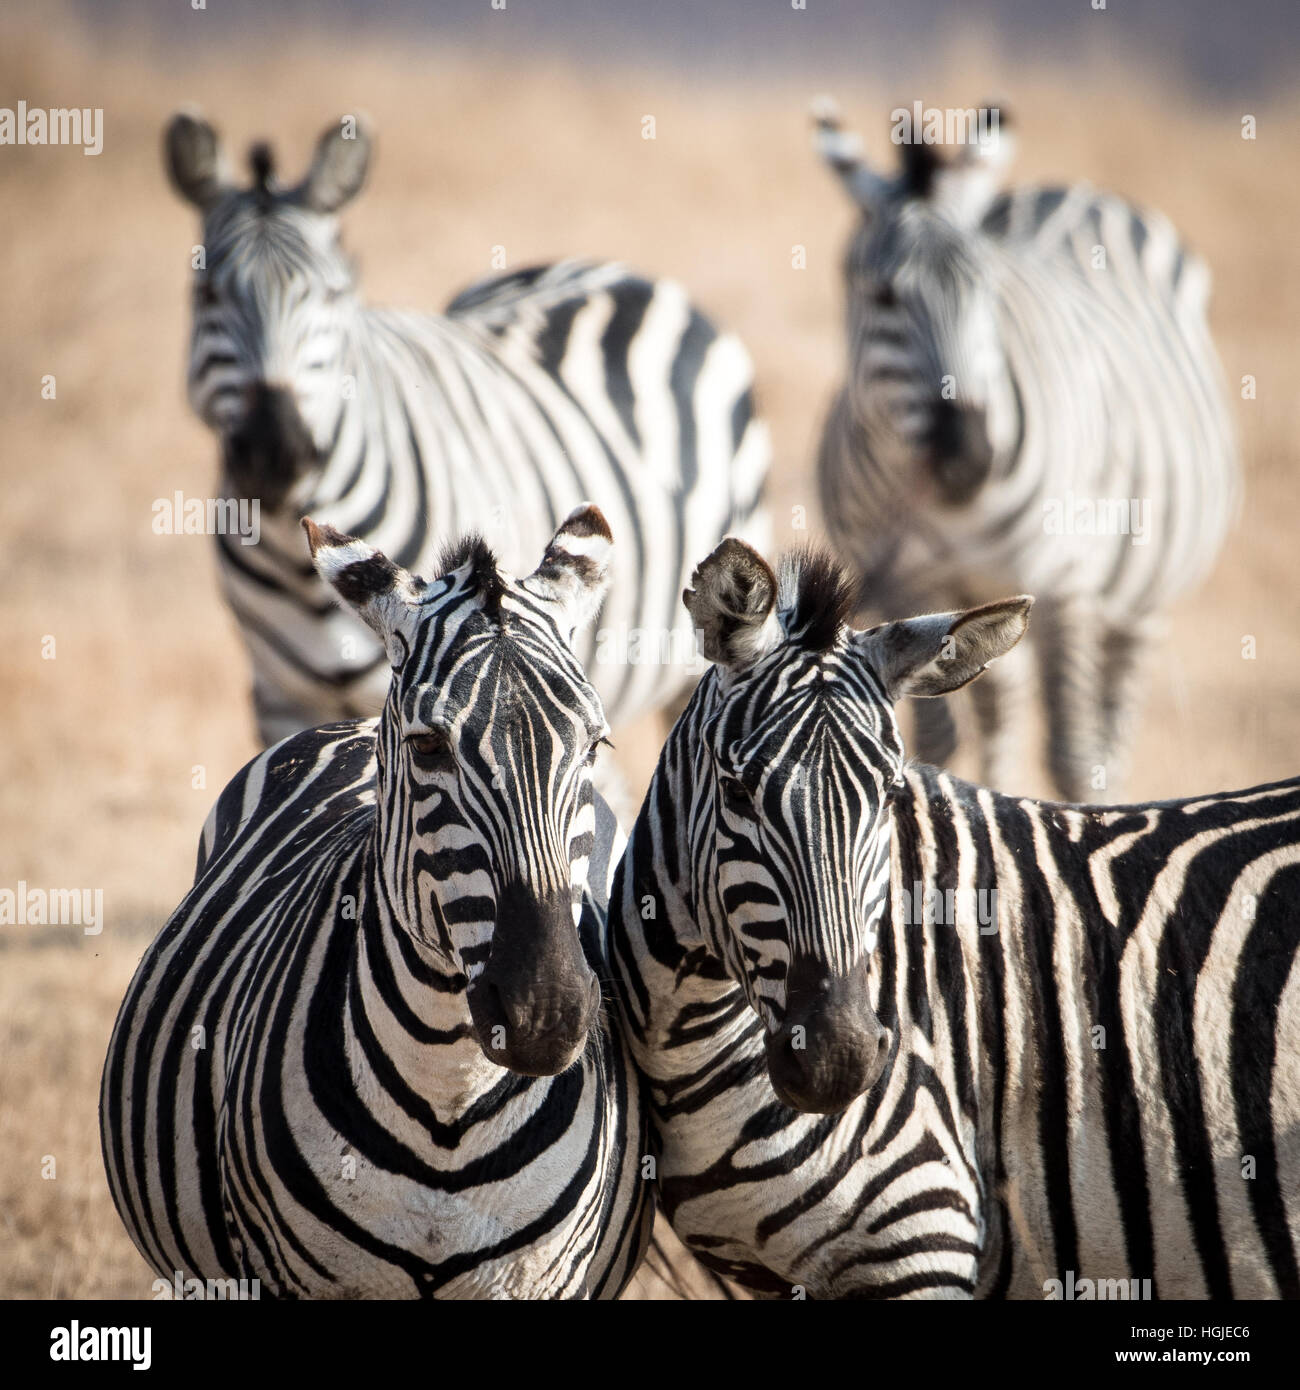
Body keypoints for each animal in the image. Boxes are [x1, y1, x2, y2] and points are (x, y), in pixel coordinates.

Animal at [164, 110, 769, 747]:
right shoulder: (279, 697)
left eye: (332, 294)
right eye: (206, 292)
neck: (293, 553)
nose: (273, 450)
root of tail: (602, 267)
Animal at [812, 100, 1237, 801]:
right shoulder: (905, 579)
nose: (968, 456)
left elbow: (1073, 754)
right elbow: (935, 739)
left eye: (987, 290)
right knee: (999, 707)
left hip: (1140, 597)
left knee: (1112, 723)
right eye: (883, 297)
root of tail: (1075, 191)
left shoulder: (1066, 580)